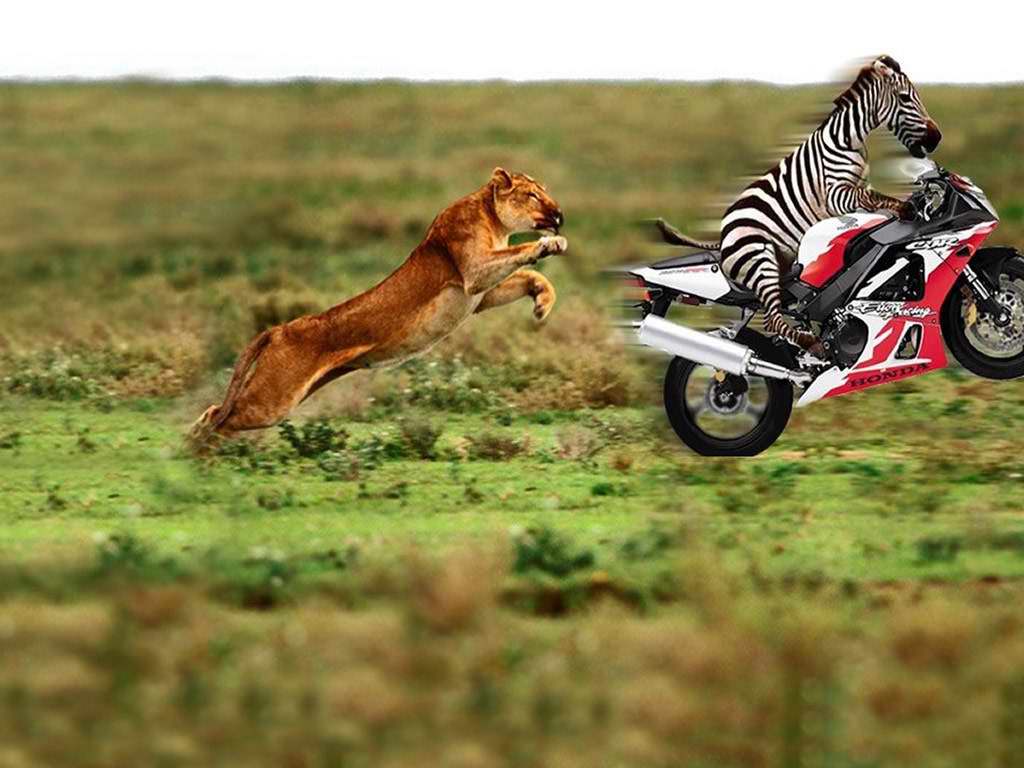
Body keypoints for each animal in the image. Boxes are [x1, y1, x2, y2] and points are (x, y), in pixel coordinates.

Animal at [659, 55, 942, 354]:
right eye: (905, 98)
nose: (937, 138)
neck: (848, 140)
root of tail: (723, 237)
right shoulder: (836, 193)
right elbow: (872, 198)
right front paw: (906, 209)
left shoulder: (853, 191)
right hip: (761, 257)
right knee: (772, 318)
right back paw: (811, 344)